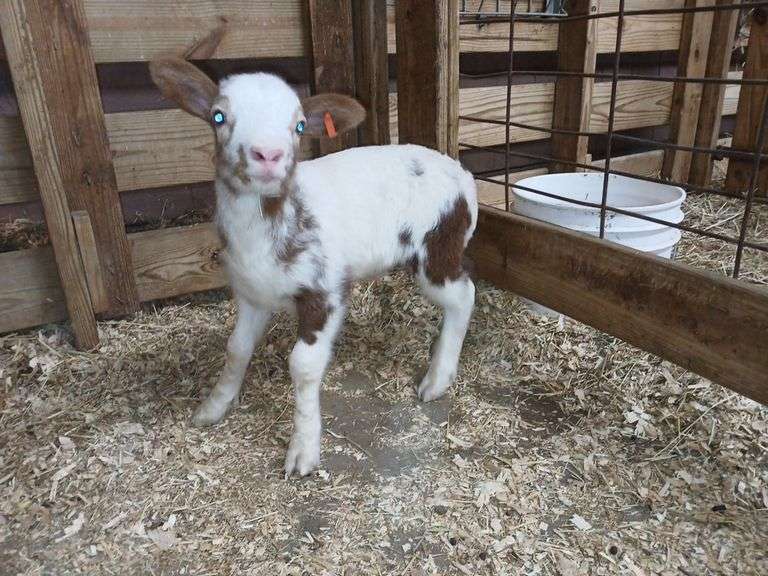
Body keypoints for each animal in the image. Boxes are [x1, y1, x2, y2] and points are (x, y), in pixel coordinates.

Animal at [149, 57, 478, 477]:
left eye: (300, 125)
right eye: (218, 116)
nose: (268, 154)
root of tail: (463, 175)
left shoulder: (325, 292)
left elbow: (303, 366)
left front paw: (303, 451)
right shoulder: (251, 293)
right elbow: (236, 349)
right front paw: (213, 407)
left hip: (437, 246)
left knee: (463, 295)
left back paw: (437, 379)